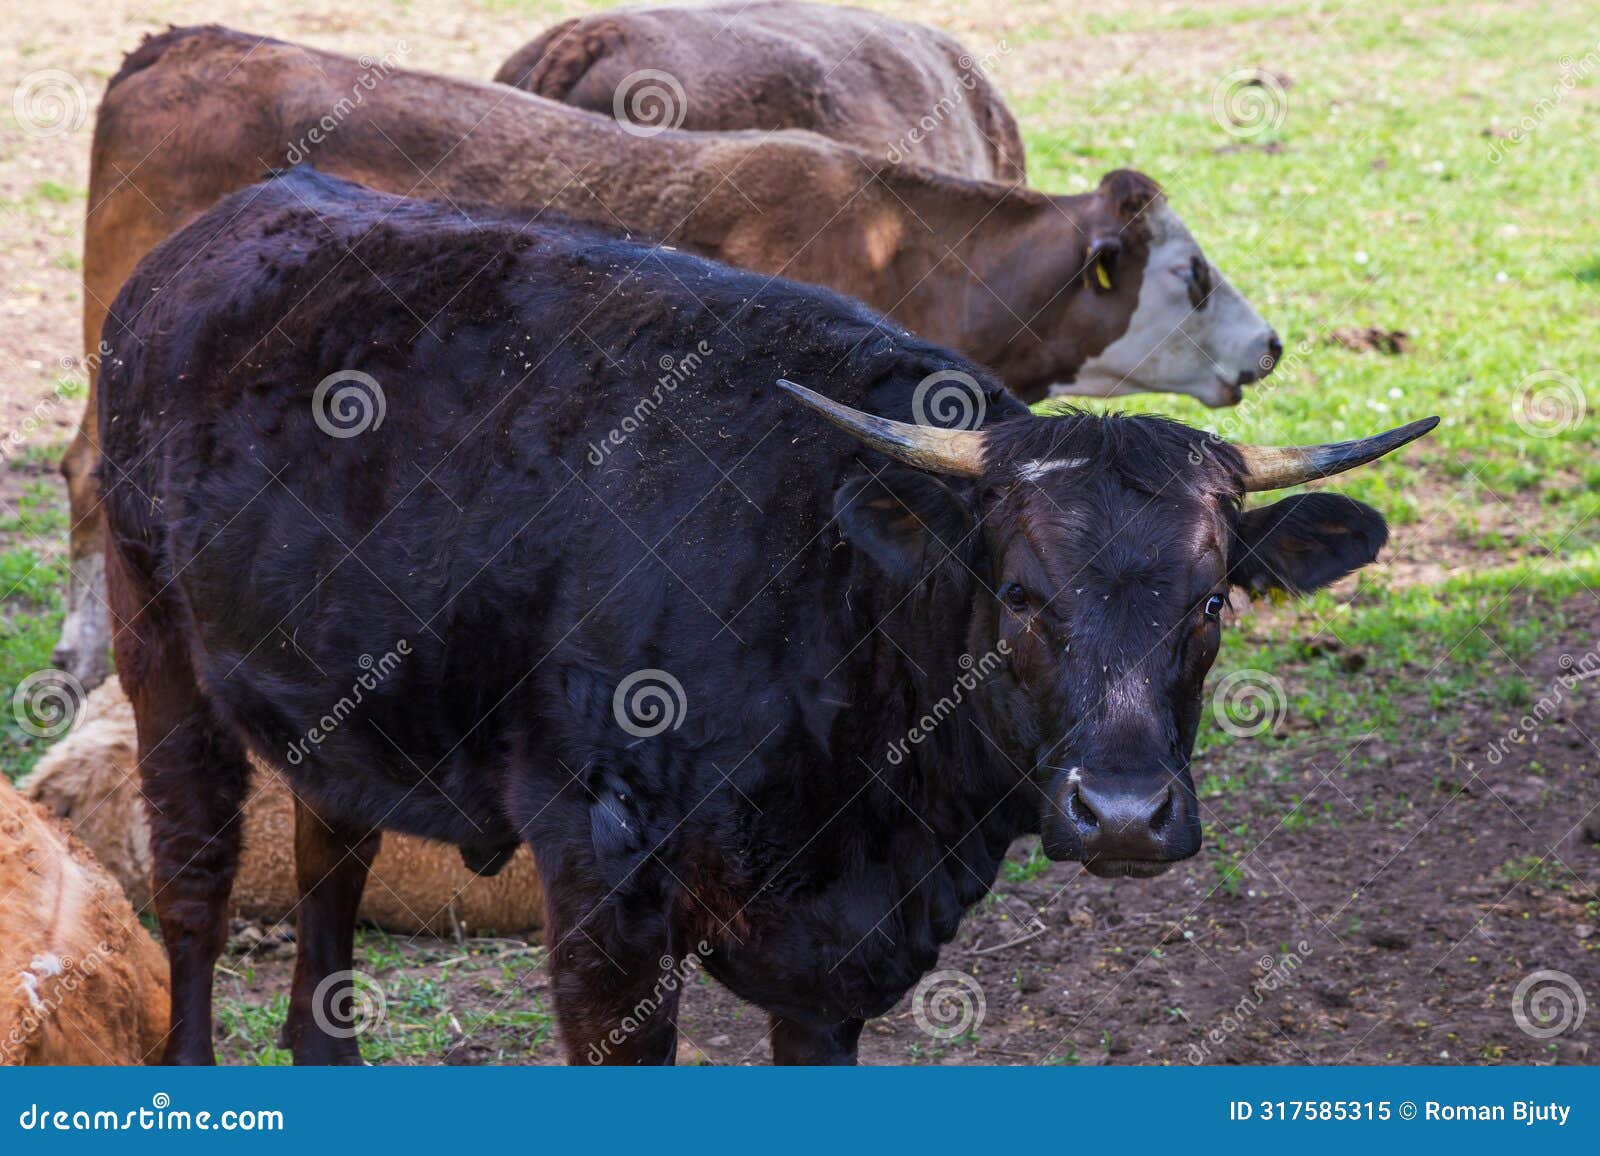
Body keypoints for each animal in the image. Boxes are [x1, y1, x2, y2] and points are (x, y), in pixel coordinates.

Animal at [98, 168, 1431, 1065]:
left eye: (1210, 600)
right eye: (1017, 593)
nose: (1121, 815)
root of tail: (242, 215)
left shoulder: (833, 967)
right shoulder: (603, 894)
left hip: (337, 702)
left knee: (330, 857)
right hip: (157, 648)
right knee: (196, 879)